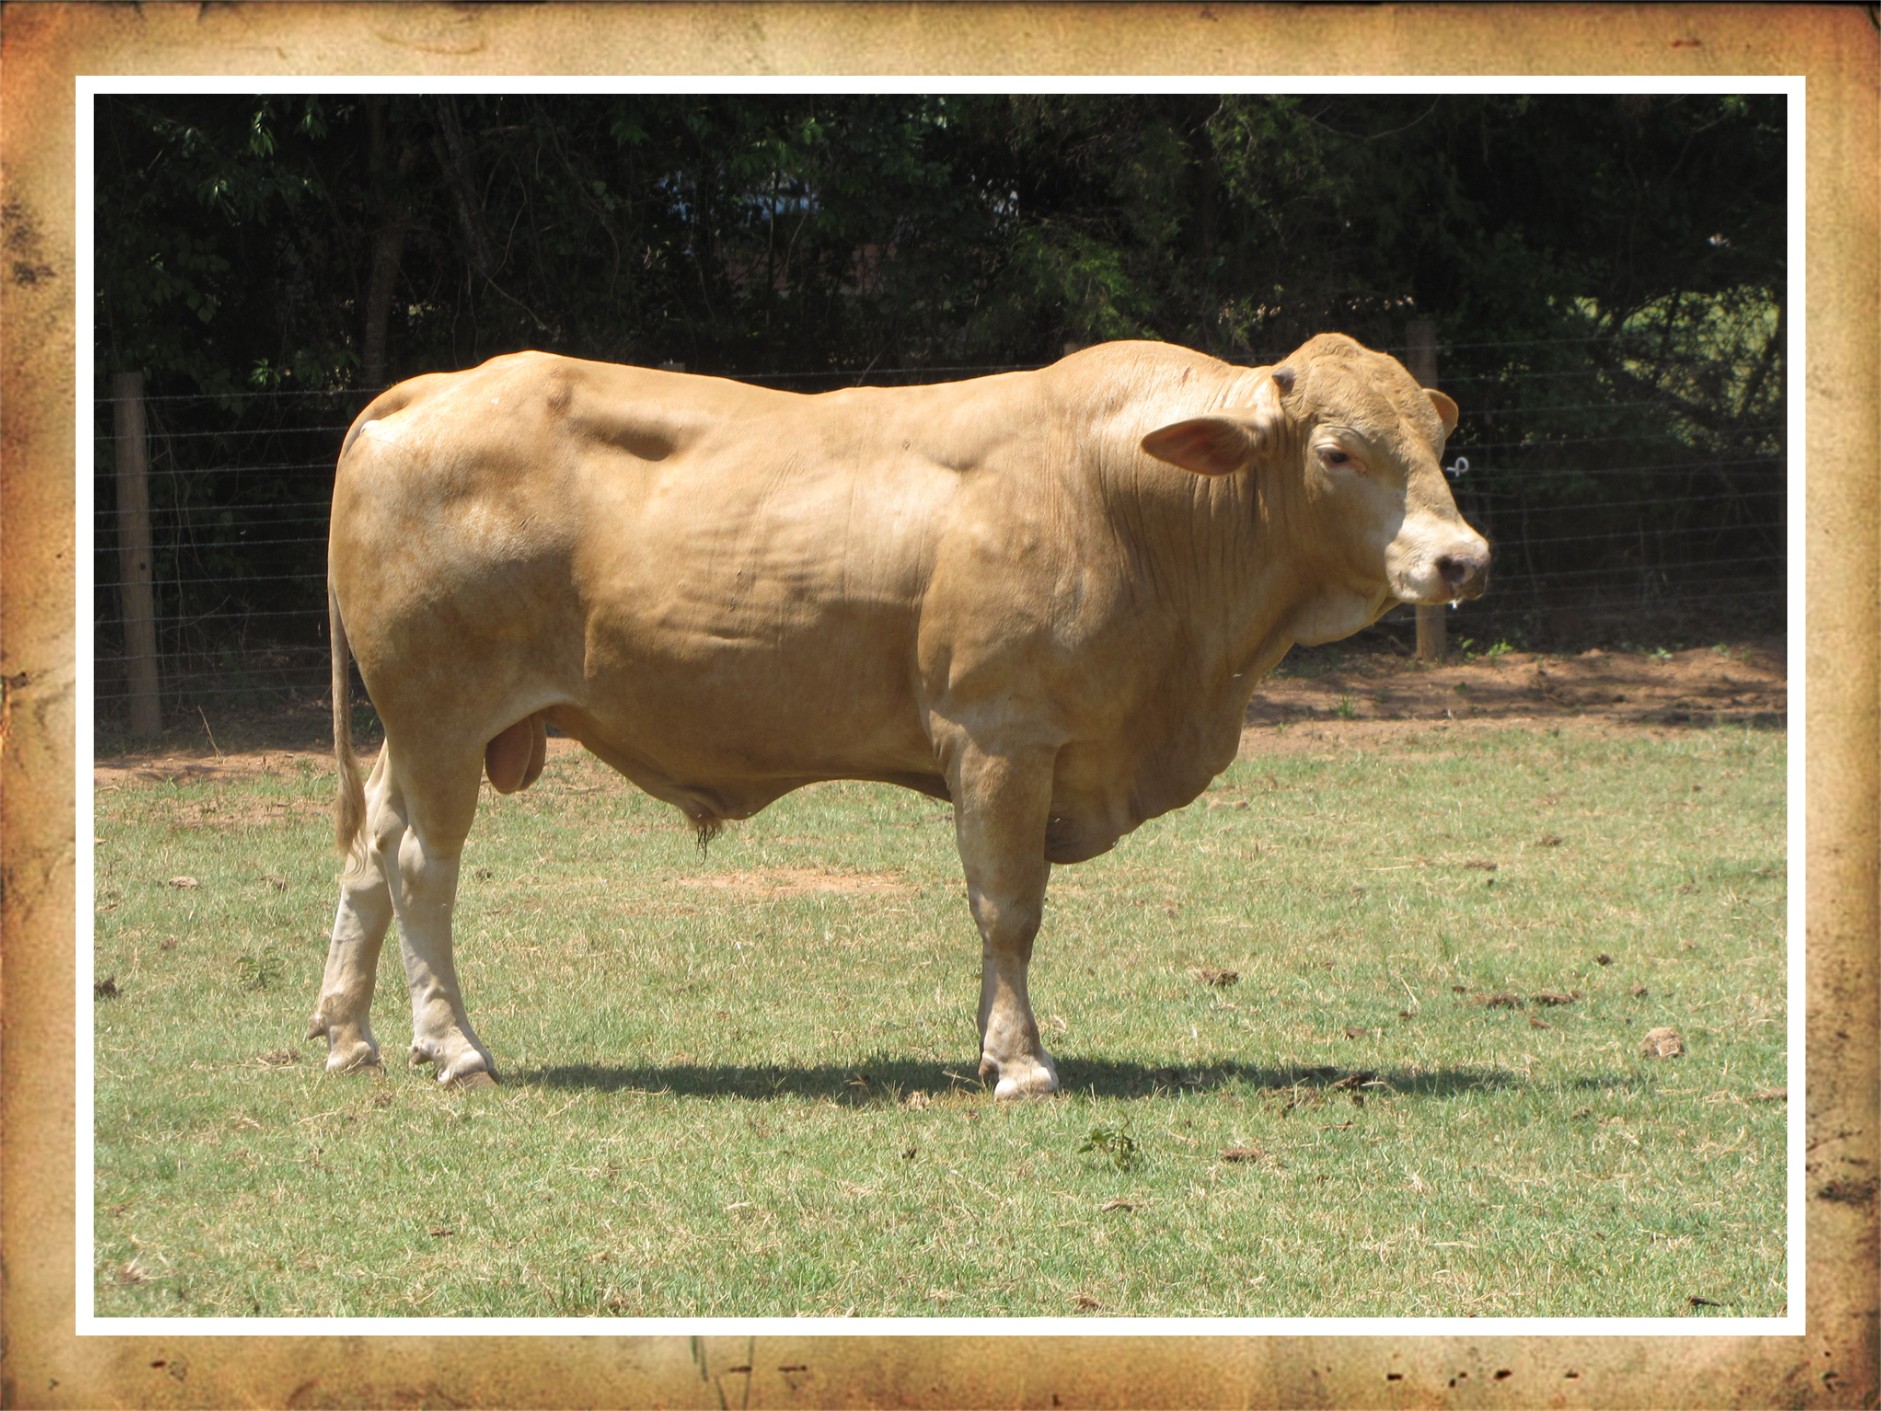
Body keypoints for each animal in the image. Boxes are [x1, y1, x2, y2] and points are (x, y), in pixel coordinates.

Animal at [313, 334, 1489, 1097]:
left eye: (1435, 444)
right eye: (1337, 451)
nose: (1462, 558)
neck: (1126, 501)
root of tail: (433, 387)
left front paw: (991, 1040)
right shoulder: (1001, 732)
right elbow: (1008, 907)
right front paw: (1020, 1059)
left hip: (418, 729)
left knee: (369, 854)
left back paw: (348, 1033)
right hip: (441, 712)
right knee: (421, 868)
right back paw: (453, 1045)